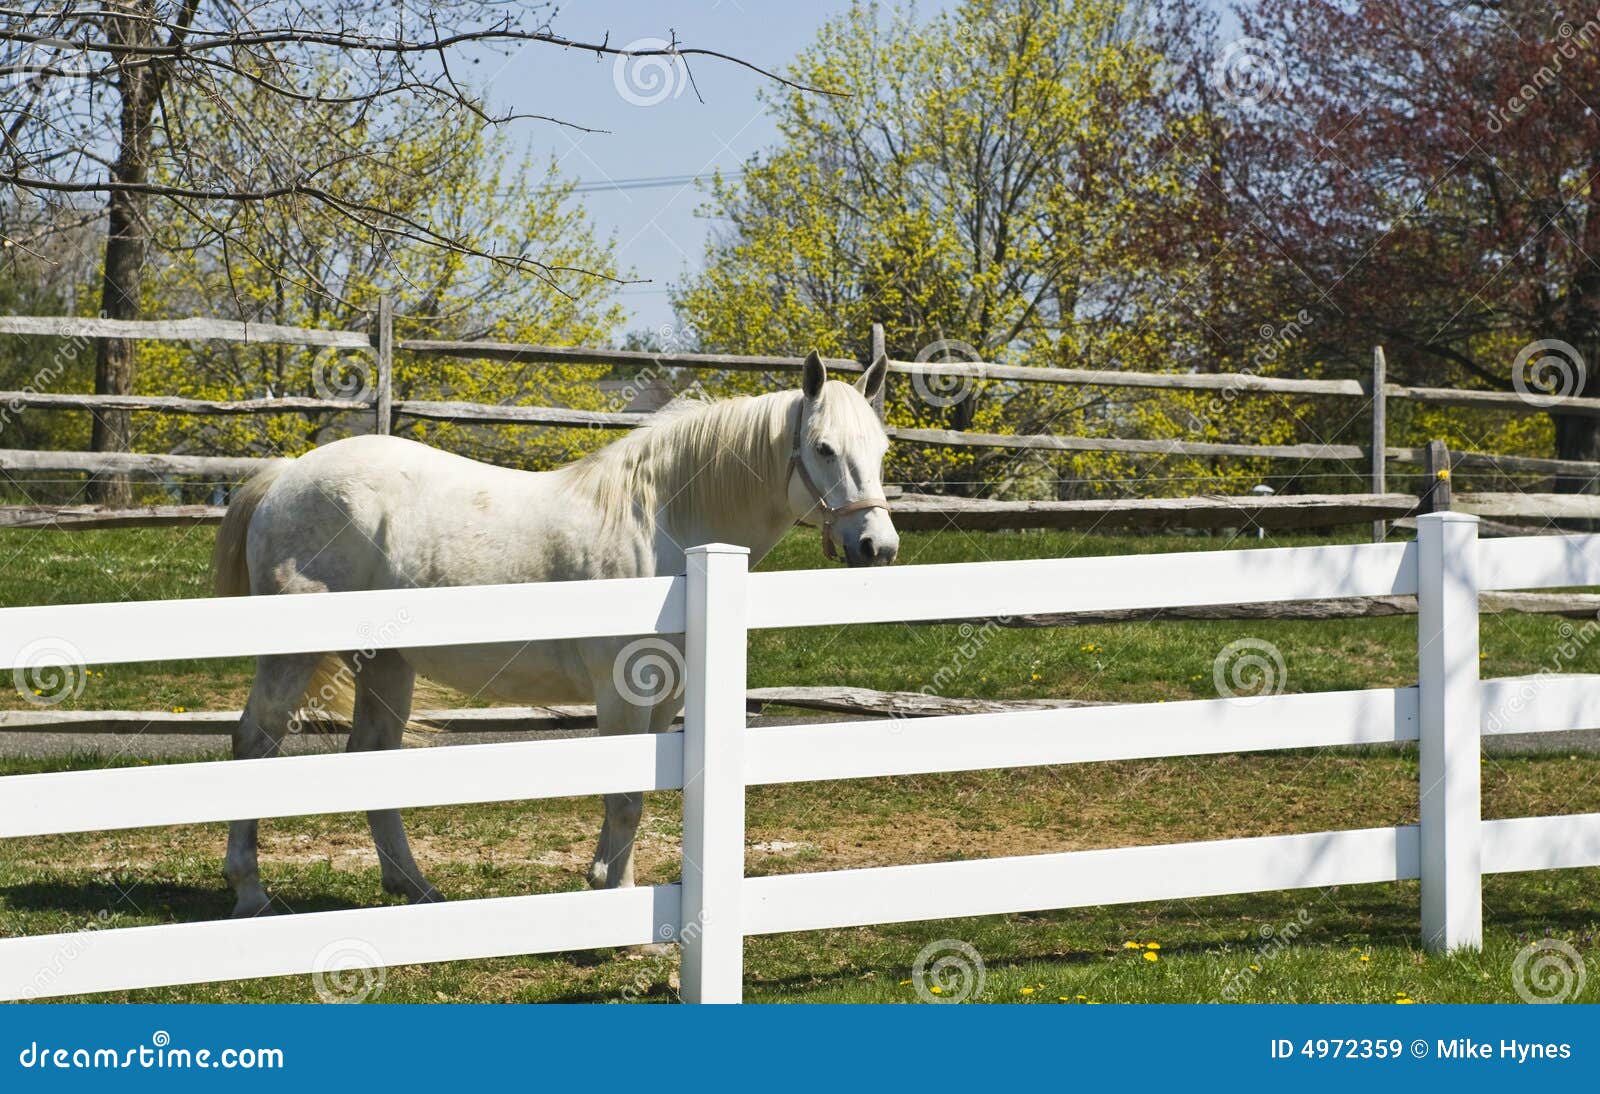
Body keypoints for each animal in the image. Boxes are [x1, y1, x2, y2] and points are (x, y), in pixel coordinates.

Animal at [209, 351, 896, 917]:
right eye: (824, 448)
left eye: (883, 450)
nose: (878, 547)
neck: (662, 521)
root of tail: (285, 477)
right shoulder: (622, 693)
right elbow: (624, 796)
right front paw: (617, 901)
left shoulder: (666, 698)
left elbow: (639, 790)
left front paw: (610, 884)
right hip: (291, 657)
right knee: (254, 743)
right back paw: (250, 891)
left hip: (386, 662)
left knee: (371, 757)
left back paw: (414, 886)